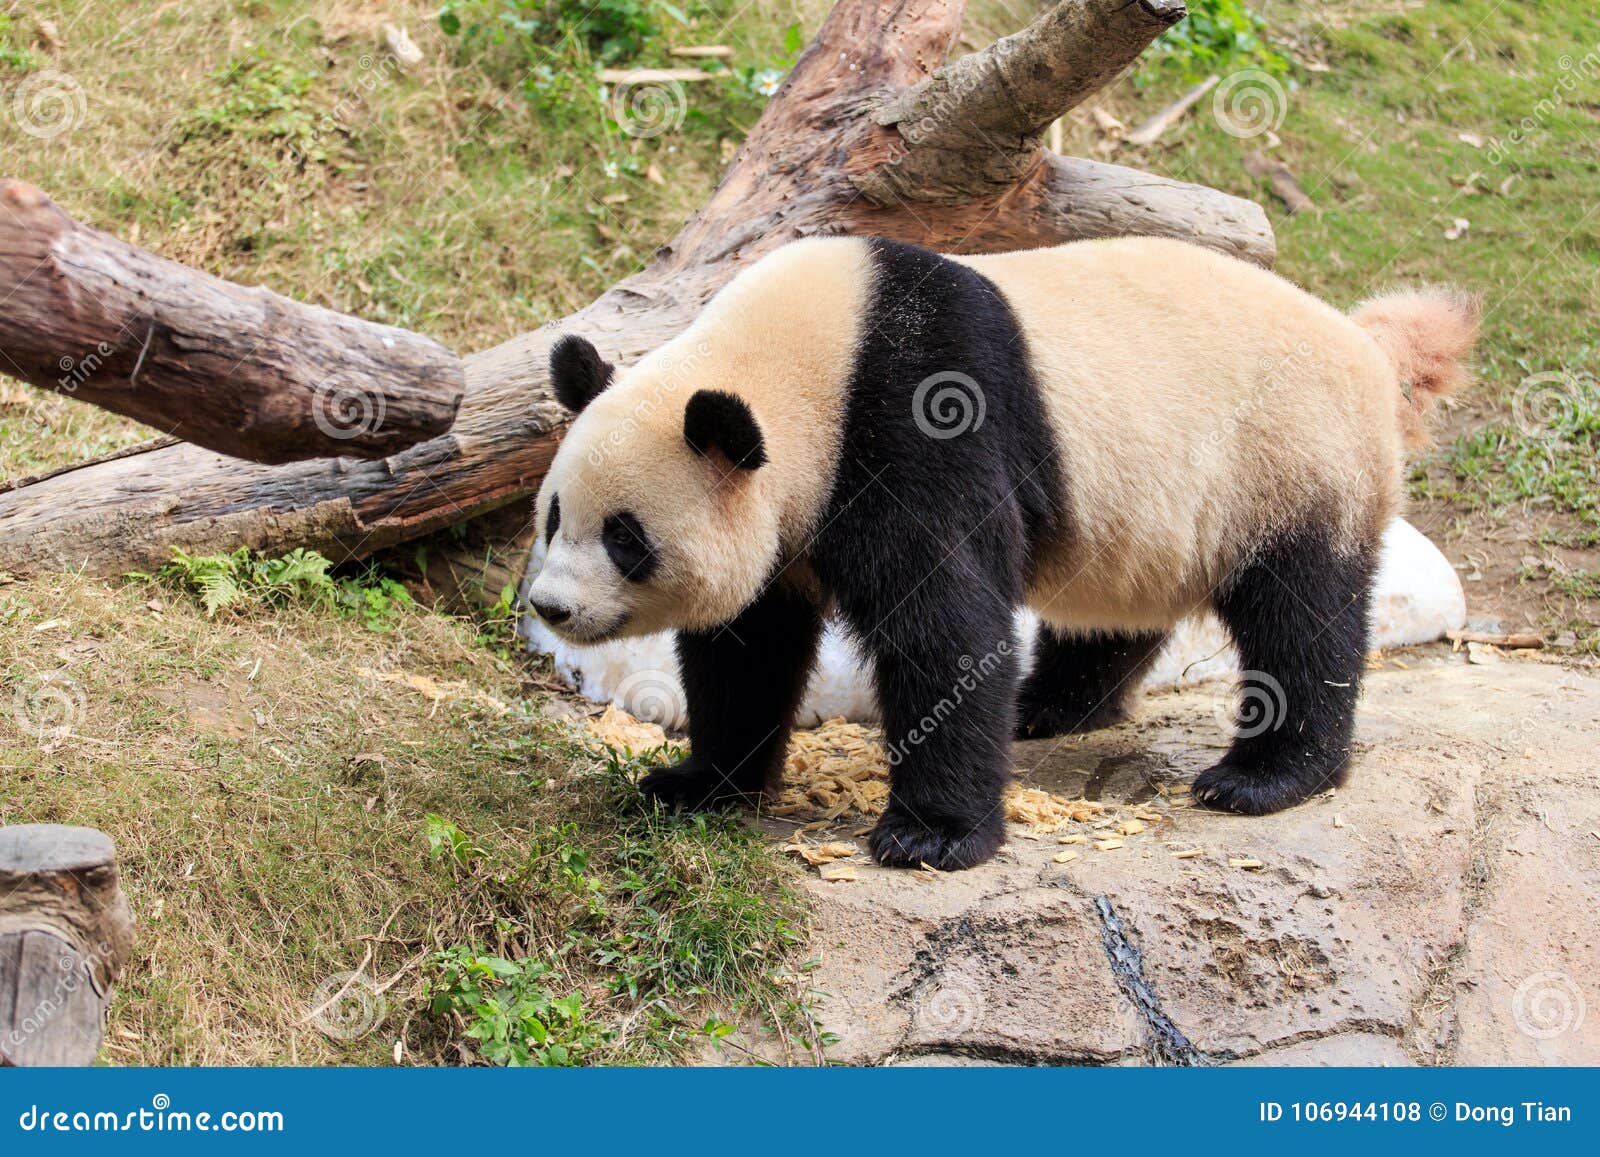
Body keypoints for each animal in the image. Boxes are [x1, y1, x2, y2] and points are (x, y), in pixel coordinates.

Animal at [525, 234, 1477, 871]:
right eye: (553, 516)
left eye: (626, 537)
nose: (551, 607)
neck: (805, 368)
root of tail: (1368, 347)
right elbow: (748, 646)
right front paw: (699, 783)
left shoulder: (921, 419)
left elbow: (944, 626)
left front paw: (930, 833)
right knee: (1121, 608)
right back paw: (1050, 705)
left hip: (1287, 457)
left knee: (1300, 616)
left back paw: (1265, 775)